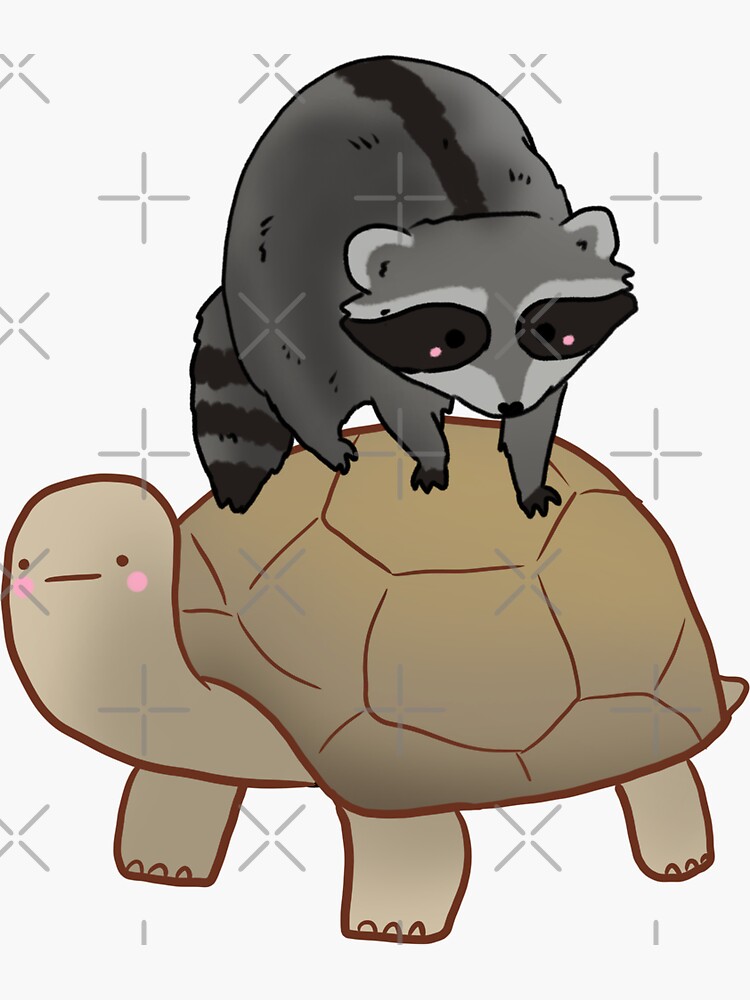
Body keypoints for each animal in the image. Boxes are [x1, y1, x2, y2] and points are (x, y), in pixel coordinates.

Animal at [191, 56, 637, 518]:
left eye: (547, 329)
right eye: (450, 337)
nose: (509, 405)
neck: (474, 215)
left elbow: (543, 405)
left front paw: (528, 468)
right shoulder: (348, 315)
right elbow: (400, 399)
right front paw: (432, 454)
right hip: (270, 274)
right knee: (296, 373)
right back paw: (325, 439)